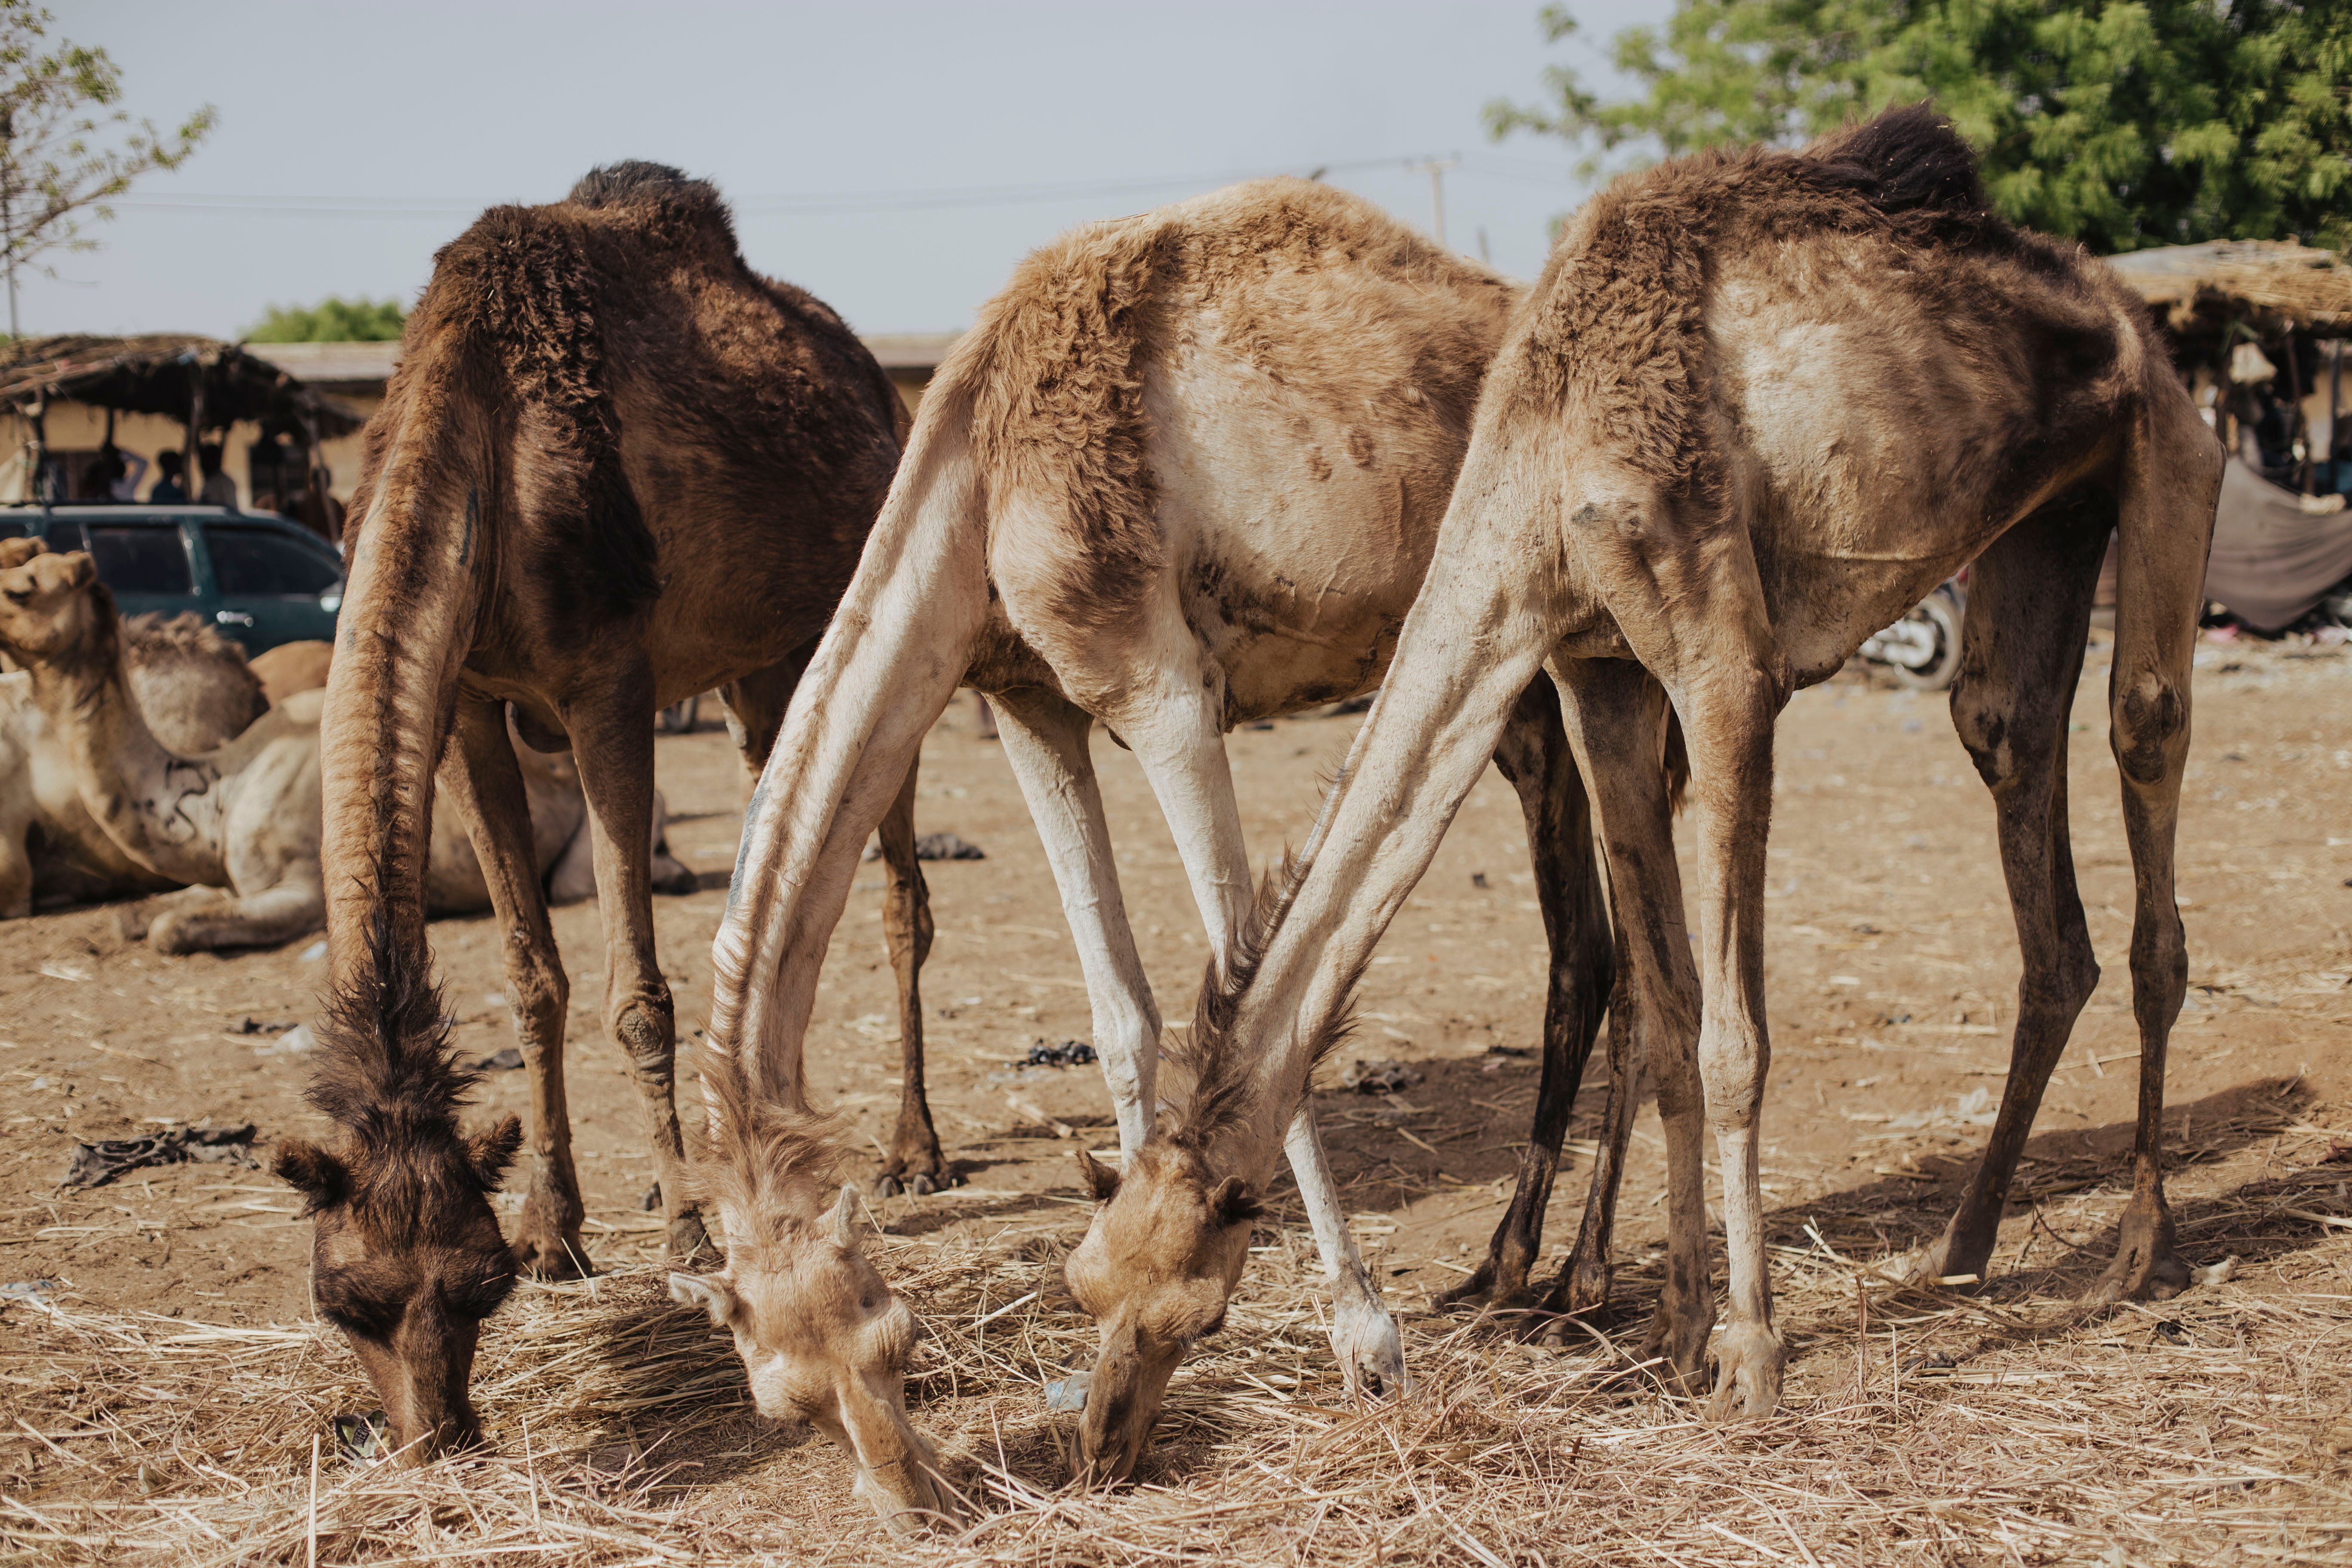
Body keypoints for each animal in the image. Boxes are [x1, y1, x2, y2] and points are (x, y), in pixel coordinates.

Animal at [272, 163, 936, 1487]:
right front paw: (559, 1226)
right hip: (756, 667)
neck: (487, 438)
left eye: (472, 1290)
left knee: (900, 889)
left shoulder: (609, 686)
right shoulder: (472, 706)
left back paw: (914, 1150)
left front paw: (684, 1234)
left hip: (861, 605)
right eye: (343, 1298)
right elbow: (533, 976)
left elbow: (638, 993)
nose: (438, 1438)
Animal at [684, 176, 1644, 1461]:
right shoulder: (1030, 701)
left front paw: (1364, 1341)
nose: (901, 1479)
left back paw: (1580, 1280)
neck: (973, 471)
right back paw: (1509, 1272)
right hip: (1514, 685)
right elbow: (1124, 1020)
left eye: (885, 1342)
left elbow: (1246, 977)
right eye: (780, 1400)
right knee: (1585, 946)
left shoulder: (1164, 690)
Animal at [1051, 104, 2223, 1470]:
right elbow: (1664, 1023)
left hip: (2167, 454)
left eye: (1190, 1304)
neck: (1542, 456)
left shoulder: (1725, 675)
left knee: (2147, 764)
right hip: (2046, 523)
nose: (1099, 1445)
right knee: (2016, 782)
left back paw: (2140, 1247)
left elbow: (1731, 1040)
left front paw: (1752, 1357)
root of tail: (2126, 311)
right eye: (1083, 1285)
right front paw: (1673, 1333)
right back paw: (1965, 1246)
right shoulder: (1596, 676)